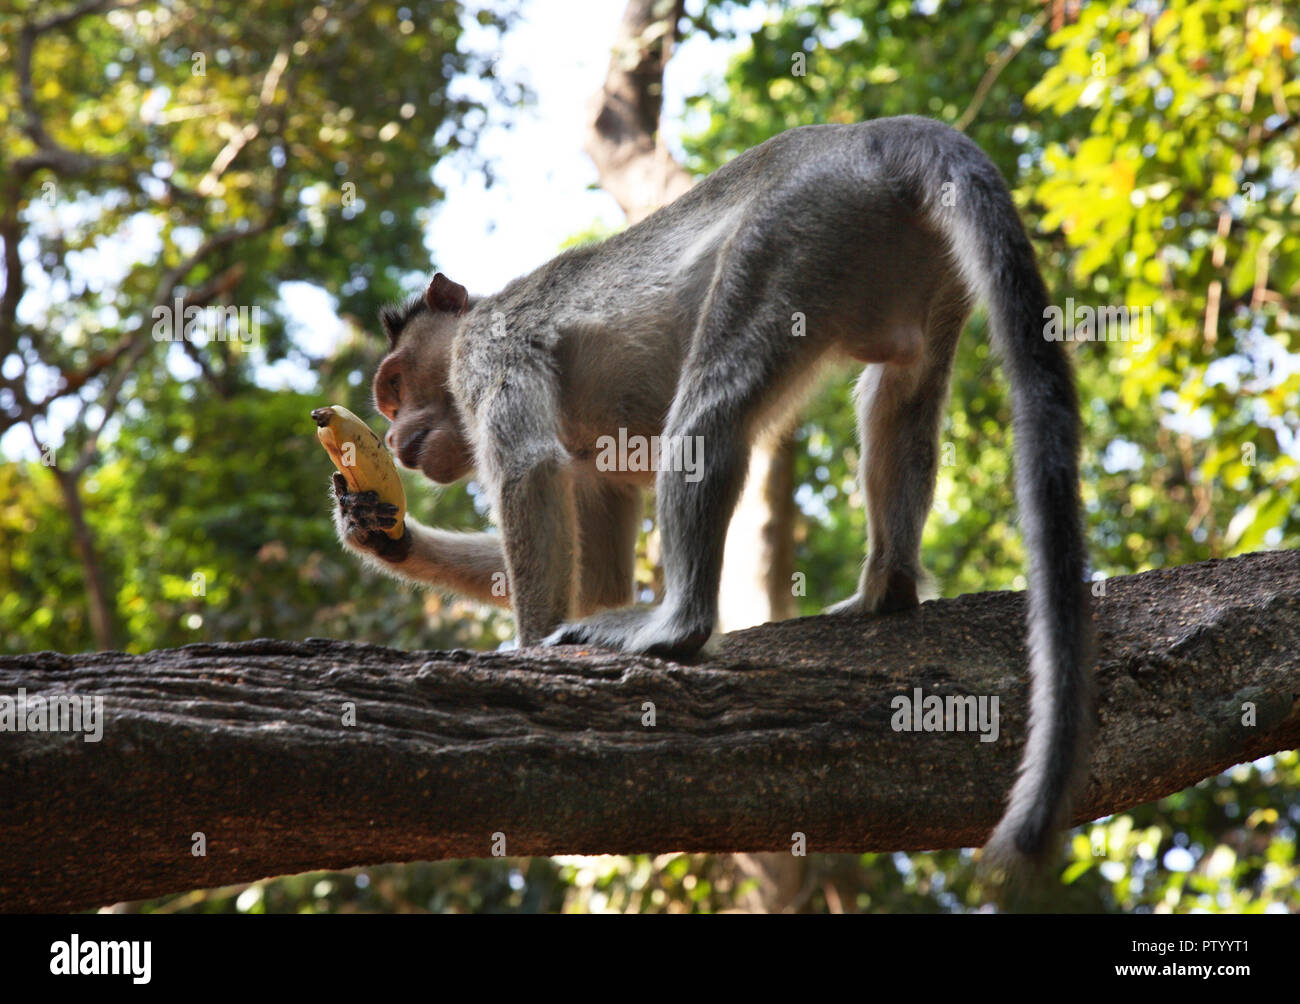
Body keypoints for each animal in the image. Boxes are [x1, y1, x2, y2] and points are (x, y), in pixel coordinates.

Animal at [332, 116, 1093, 871]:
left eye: (395, 385)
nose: (392, 434)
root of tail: (873, 133)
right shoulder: (591, 465)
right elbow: (597, 575)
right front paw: (381, 532)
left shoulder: (488, 349)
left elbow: (529, 469)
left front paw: (525, 656)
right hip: (916, 266)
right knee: (900, 393)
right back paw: (888, 587)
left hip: (794, 225)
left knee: (710, 407)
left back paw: (678, 624)